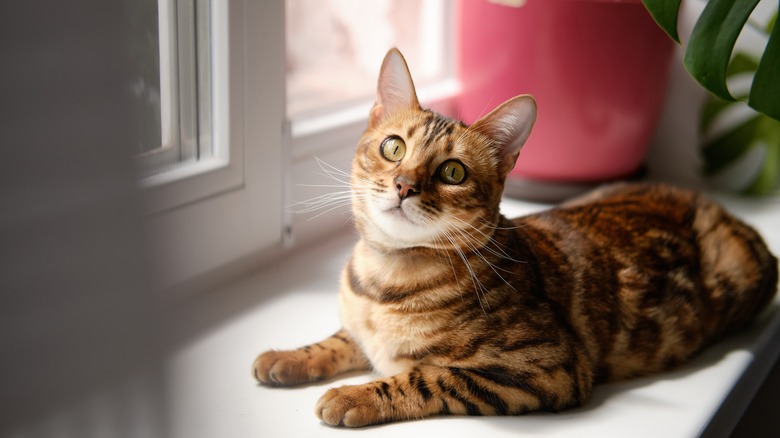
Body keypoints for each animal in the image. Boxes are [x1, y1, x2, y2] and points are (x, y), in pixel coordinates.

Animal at [253, 48, 776, 428]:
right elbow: (339, 339)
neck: (386, 277)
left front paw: (352, 395)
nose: (404, 185)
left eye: (453, 172)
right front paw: (286, 357)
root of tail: (714, 204)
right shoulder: (358, 326)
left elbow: (425, 377)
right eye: (393, 147)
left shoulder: (545, 367)